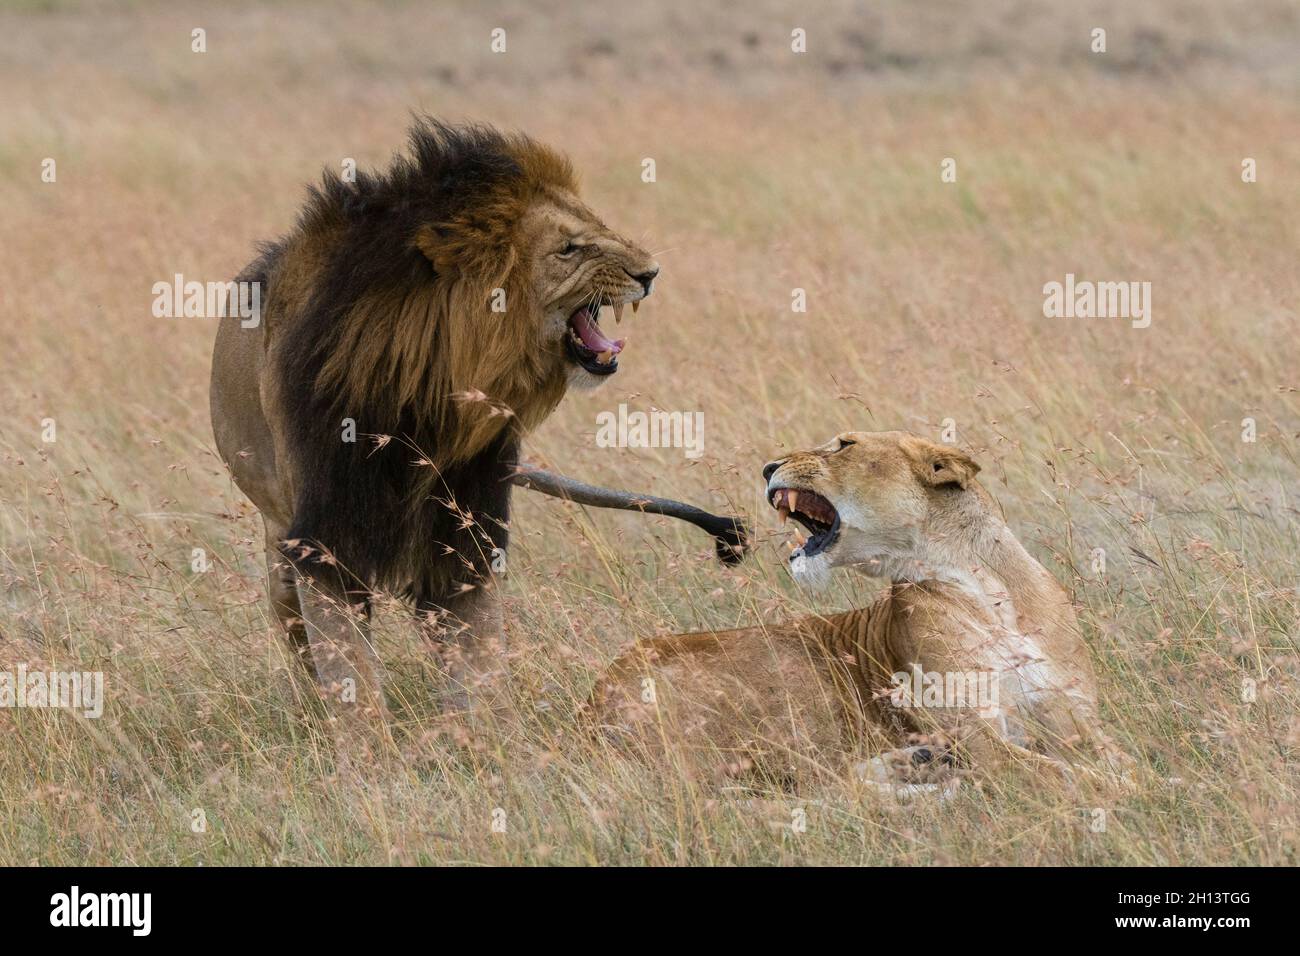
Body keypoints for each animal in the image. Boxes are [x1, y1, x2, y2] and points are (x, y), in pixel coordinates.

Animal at [210, 119, 675, 751]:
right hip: (276, 536)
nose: (649, 273)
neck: (431, 391)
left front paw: (500, 745)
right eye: (569, 249)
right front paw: (369, 761)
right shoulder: (323, 534)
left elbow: (476, 648)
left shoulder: (467, 518)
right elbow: (349, 668)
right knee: (296, 636)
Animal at [588, 431, 1126, 792]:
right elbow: (1079, 776)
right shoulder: (976, 736)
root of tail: (592, 702)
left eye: (844, 444)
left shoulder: (1076, 721)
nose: (767, 467)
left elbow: (1117, 759)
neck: (991, 596)